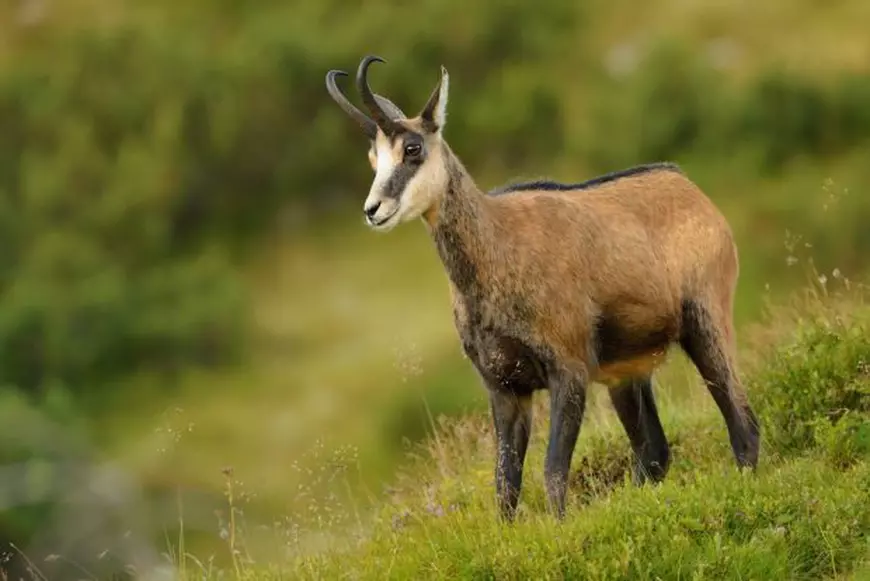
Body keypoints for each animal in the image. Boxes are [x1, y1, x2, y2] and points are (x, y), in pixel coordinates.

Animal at [325, 55, 761, 521]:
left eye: (412, 148)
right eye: (373, 158)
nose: (373, 210)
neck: (499, 251)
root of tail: (689, 188)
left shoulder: (567, 370)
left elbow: (552, 470)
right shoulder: (504, 388)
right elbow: (505, 484)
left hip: (705, 322)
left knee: (743, 424)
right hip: (626, 372)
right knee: (655, 451)